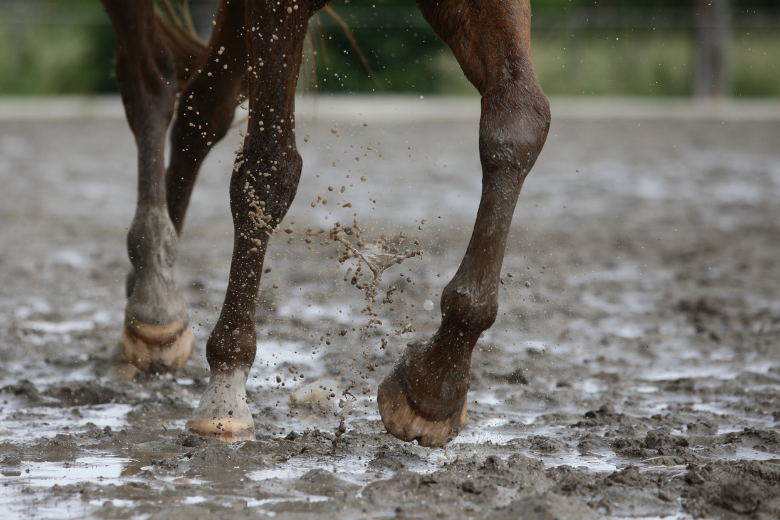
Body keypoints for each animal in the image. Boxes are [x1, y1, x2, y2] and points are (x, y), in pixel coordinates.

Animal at [101, 0, 550, 447]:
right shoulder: (278, 9)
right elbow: (268, 167)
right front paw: (225, 395)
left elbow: (519, 122)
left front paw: (436, 383)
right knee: (150, 85)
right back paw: (153, 299)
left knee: (203, 108)